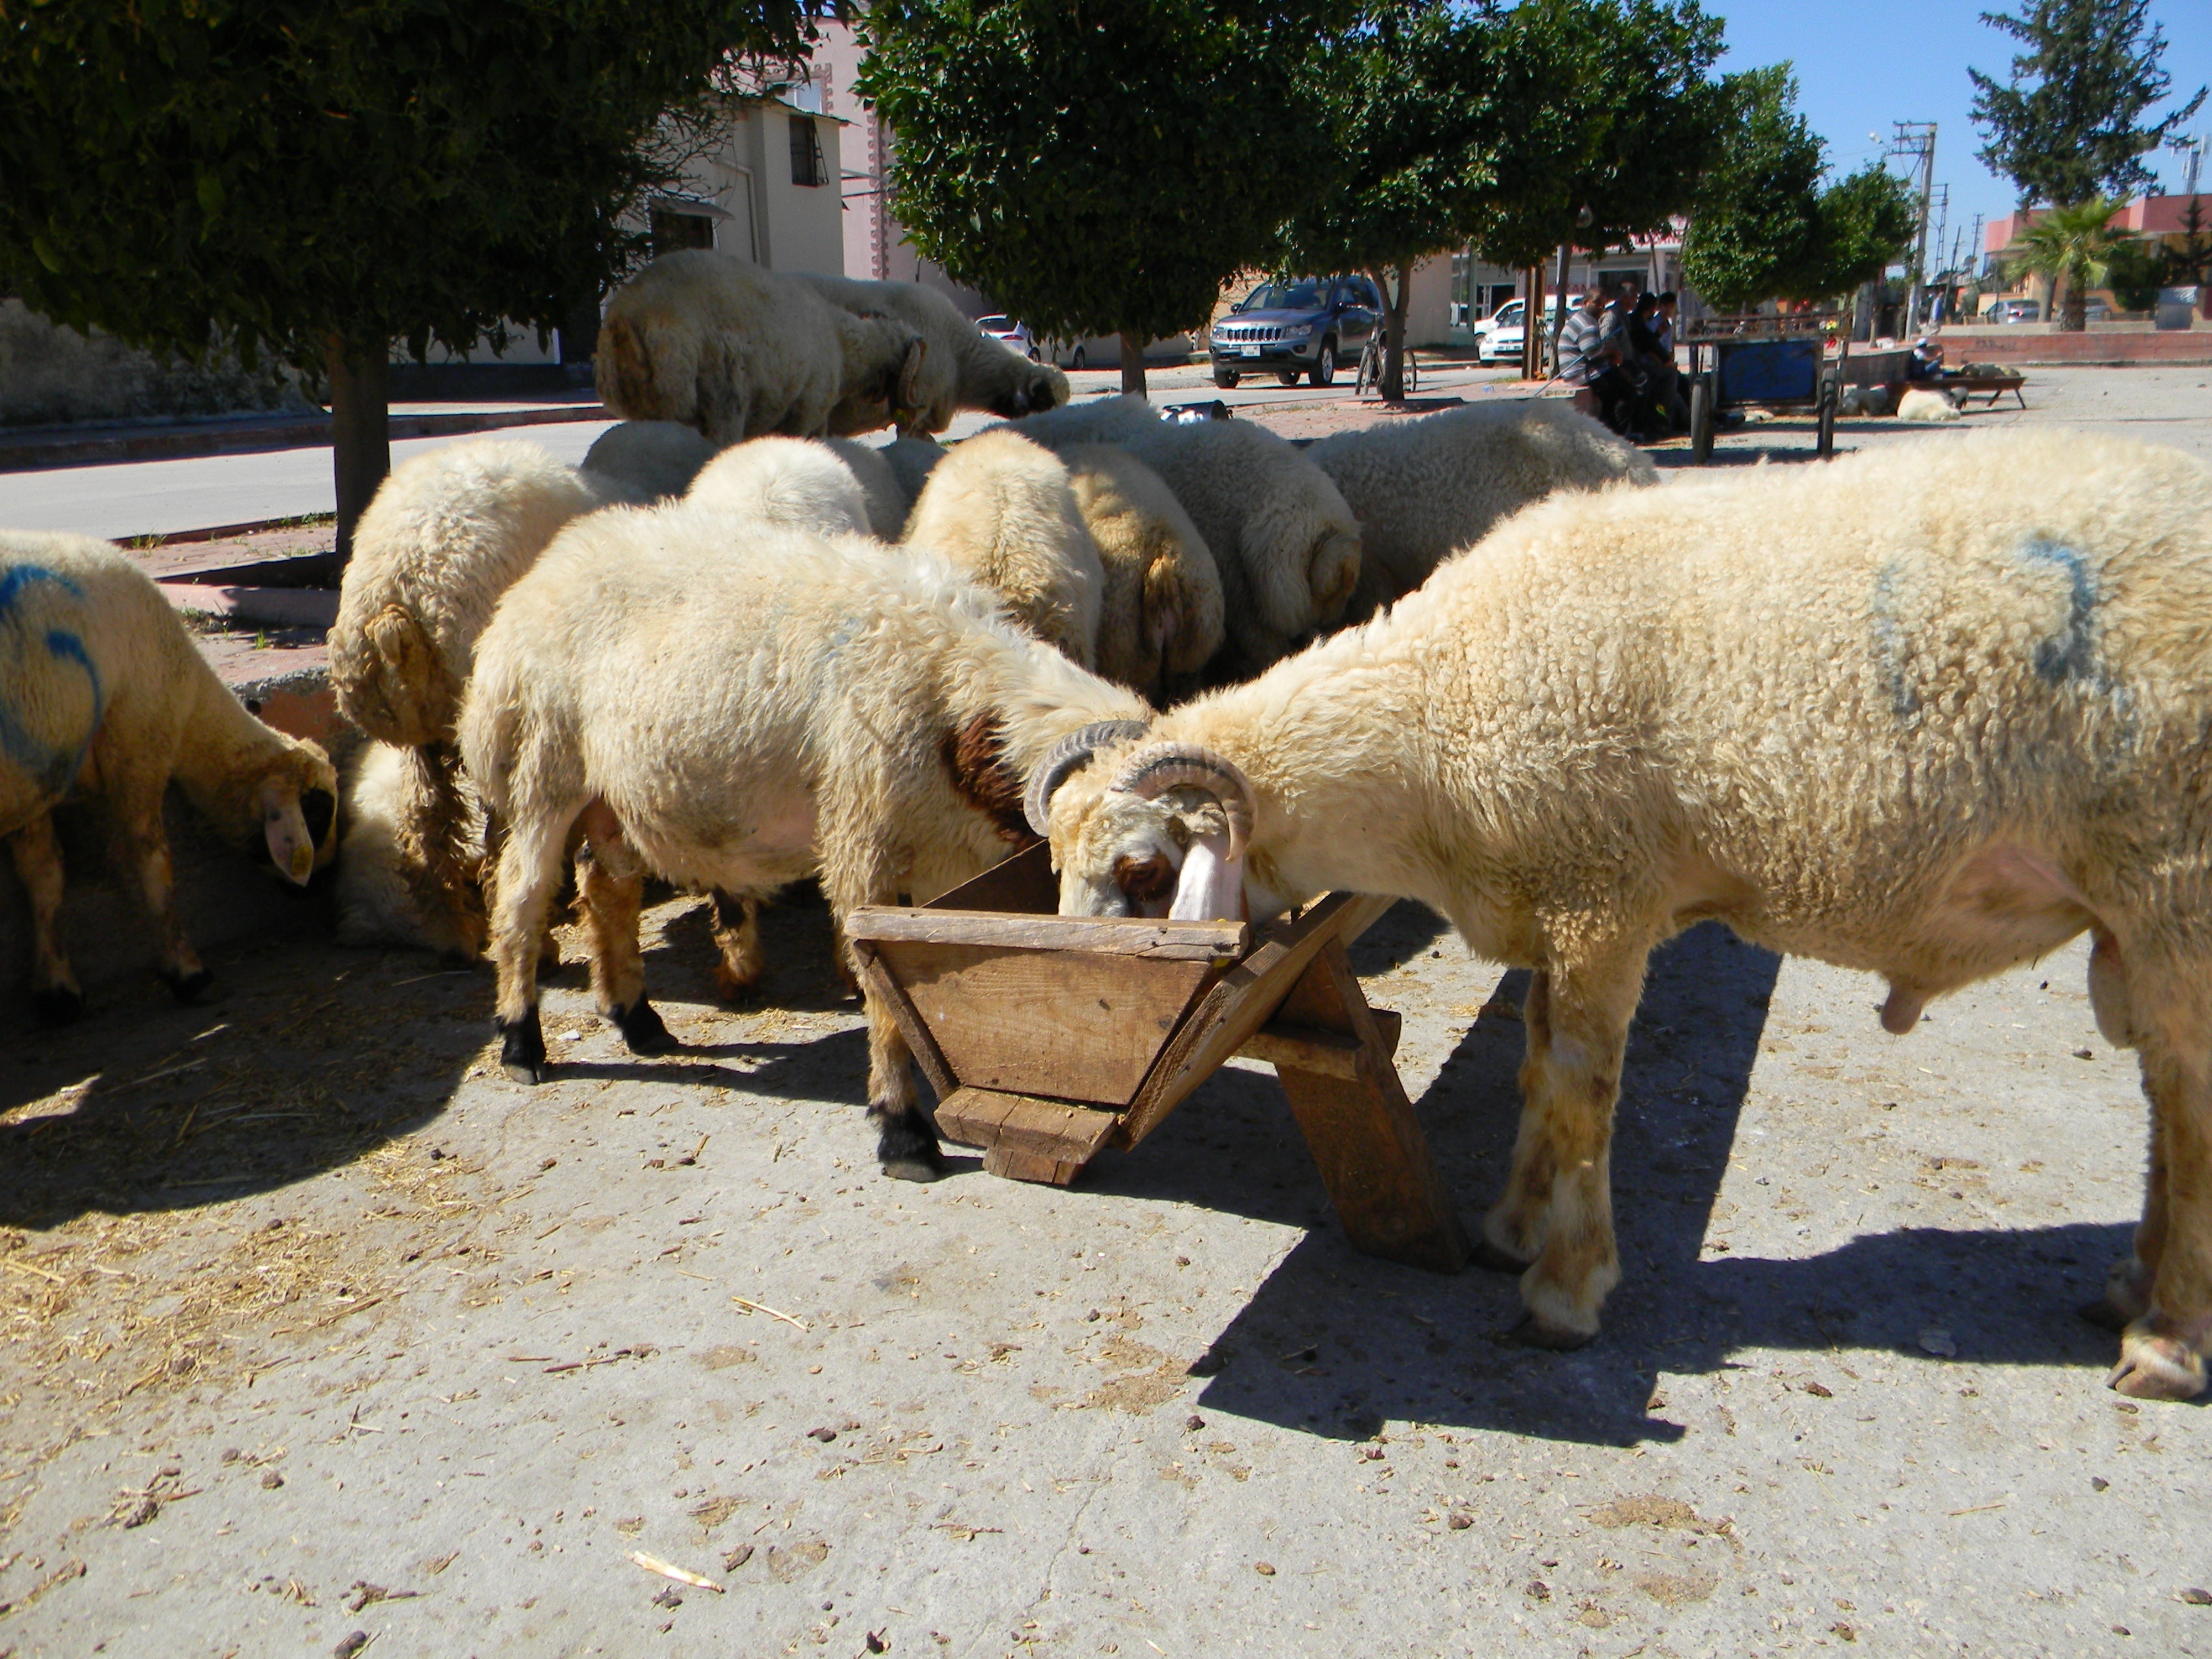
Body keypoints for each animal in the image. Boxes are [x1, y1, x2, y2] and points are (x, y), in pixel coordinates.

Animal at [0, 531, 337, 1020]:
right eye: (317, 811)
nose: (324, 884)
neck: (194, 705)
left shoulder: (39, 771)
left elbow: (44, 876)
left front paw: (58, 990)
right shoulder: (141, 739)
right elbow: (152, 864)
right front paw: (189, 974)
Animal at [458, 514, 1149, 1178]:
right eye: (1140, 867)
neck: (958, 690)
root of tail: (542, 576)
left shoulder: (945, 852)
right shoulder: (862, 837)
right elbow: (885, 995)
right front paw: (904, 1133)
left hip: (613, 793)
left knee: (608, 890)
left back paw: (637, 1018)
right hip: (543, 769)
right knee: (520, 900)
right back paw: (521, 1041)